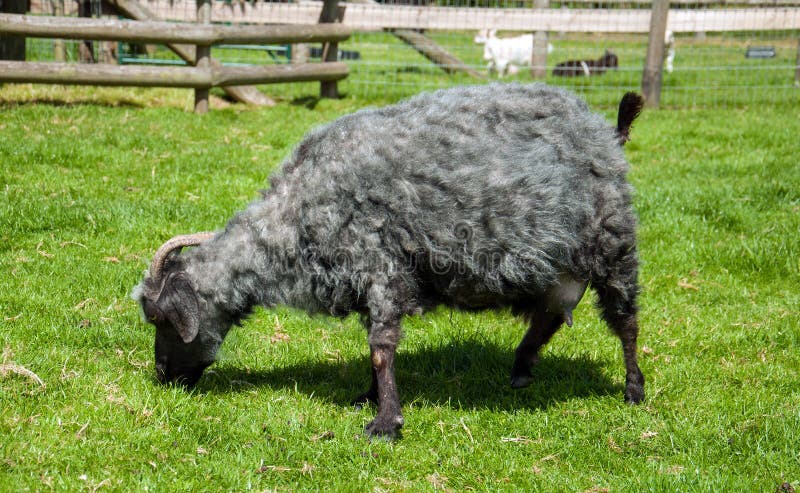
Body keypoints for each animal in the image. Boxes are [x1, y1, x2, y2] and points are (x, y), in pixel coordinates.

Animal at [134, 83, 646, 440]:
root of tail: (606, 132)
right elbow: (373, 348)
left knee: (625, 321)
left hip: (612, 244)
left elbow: (381, 348)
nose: (163, 376)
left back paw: (633, 388)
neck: (297, 215)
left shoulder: (380, 268)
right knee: (550, 315)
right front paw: (368, 397)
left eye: (158, 317)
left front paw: (385, 422)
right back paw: (521, 369)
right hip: (558, 265)